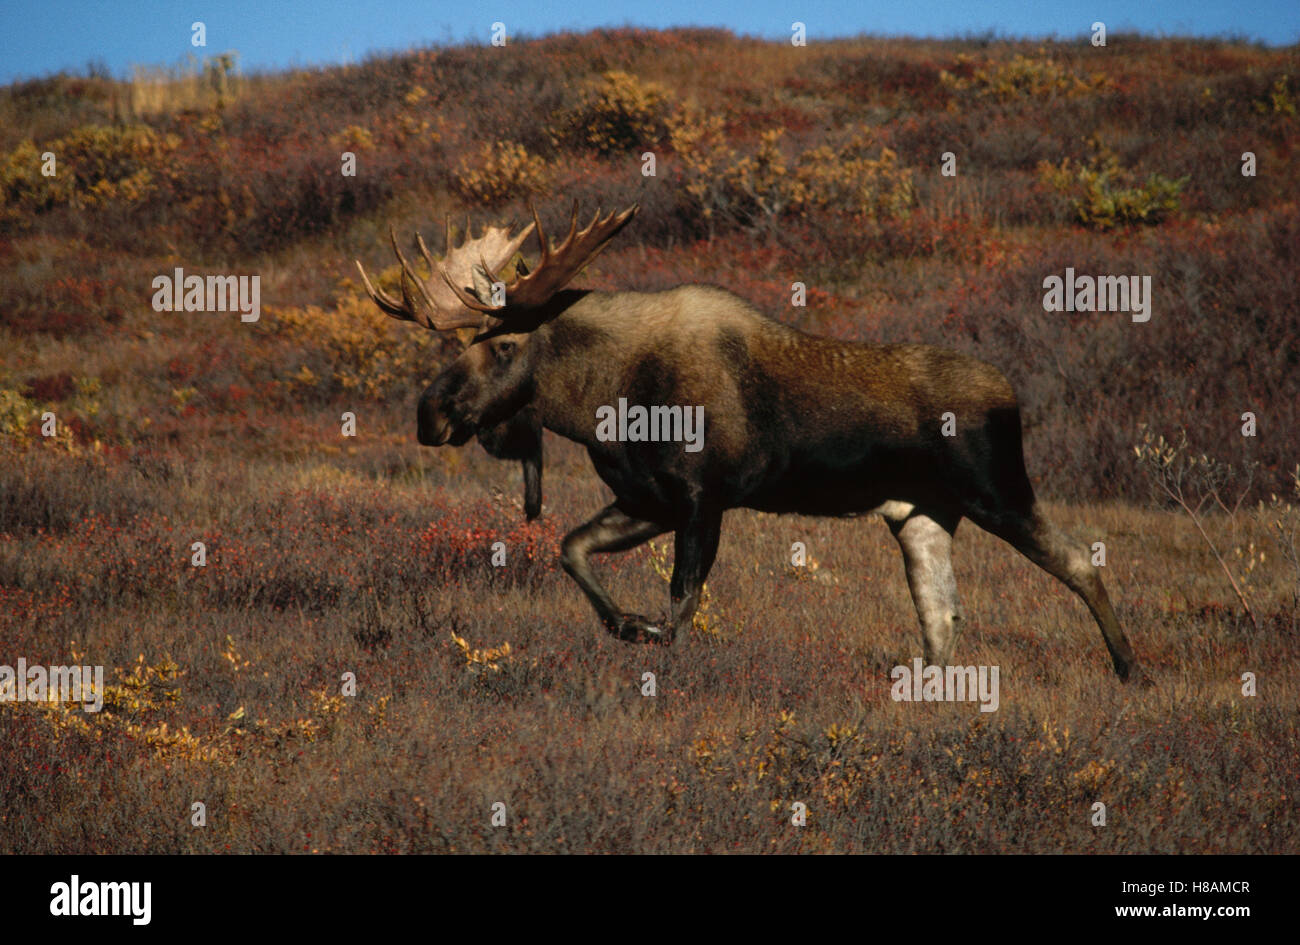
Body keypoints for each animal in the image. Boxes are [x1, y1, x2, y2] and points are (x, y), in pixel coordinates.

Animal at [355, 203, 1149, 684]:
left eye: (504, 346)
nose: (429, 417)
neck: (603, 398)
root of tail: (1013, 394)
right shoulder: (647, 498)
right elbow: (571, 547)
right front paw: (625, 624)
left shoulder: (703, 497)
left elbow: (682, 601)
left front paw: (650, 637)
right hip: (921, 513)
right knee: (941, 612)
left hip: (997, 491)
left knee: (1079, 561)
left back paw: (1128, 667)